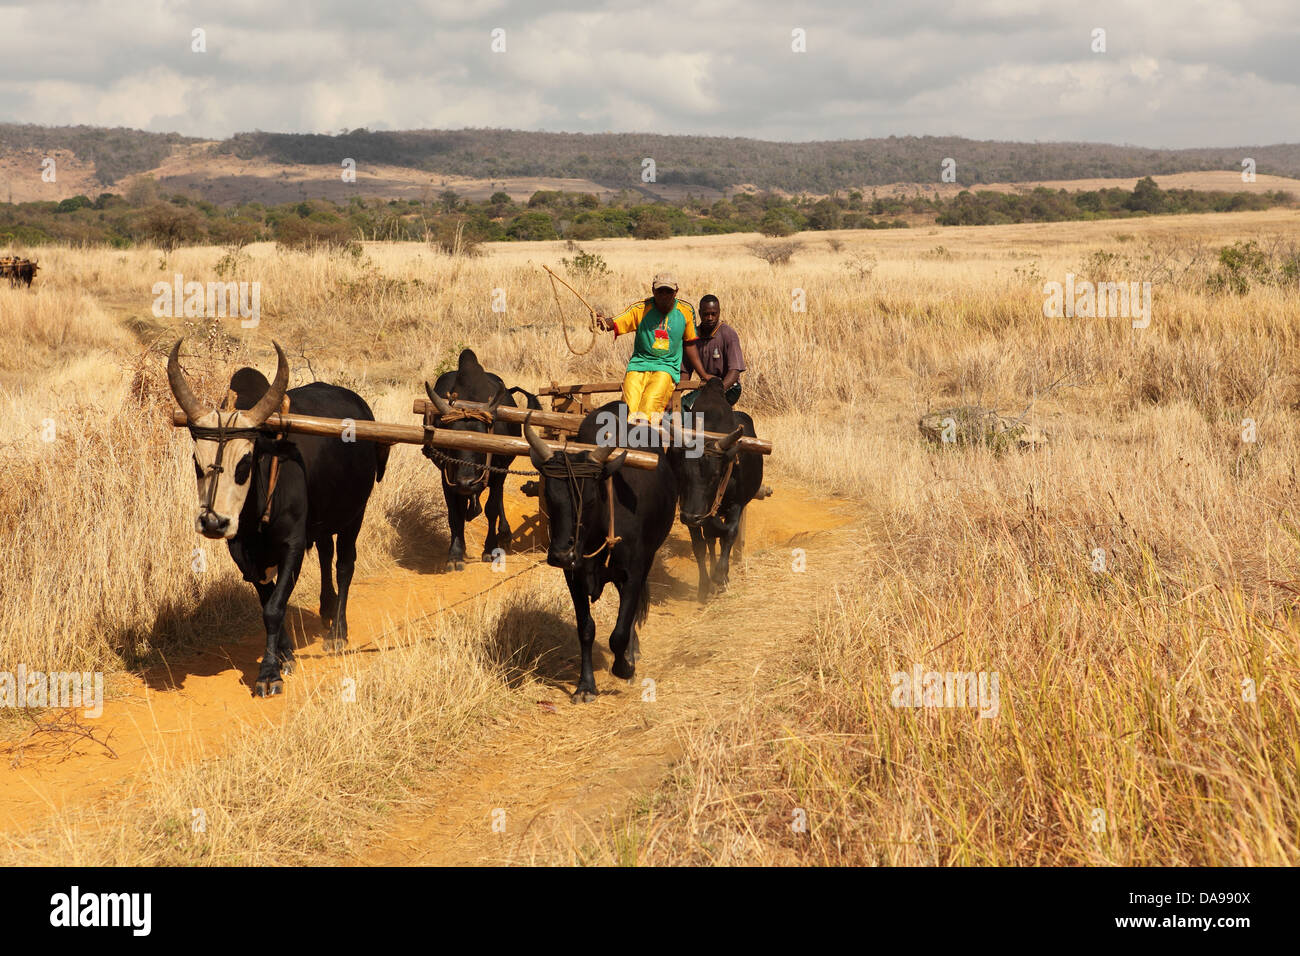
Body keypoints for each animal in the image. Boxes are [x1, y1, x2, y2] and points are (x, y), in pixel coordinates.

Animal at [168, 339, 388, 697]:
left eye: (245, 462)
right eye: (196, 462)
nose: (213, 523)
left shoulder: (293, 545)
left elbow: (274, 607)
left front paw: (269, 673)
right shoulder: (242, 553)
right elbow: (267, 600)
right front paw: (285, 654)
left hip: (355, 513)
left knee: (344, 565)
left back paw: (337, 632)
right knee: (326, 553)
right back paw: (326, 609)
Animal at [422, 348, 540, 570]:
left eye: (482, 444)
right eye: (451, 444)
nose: (466, 482)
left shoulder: (498, 471)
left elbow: (491, 508)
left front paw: (489, 549)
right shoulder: (447, 476)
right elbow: (455, 513)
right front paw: (456, 554)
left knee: (498, 497)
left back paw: (504, 535)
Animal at [524, 402, 677, 702]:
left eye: (591, 498)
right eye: (549, 496)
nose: (560, 555)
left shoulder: (633, 573)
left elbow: (619, 631)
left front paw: (625, 667)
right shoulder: (574, 578)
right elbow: (586, 629)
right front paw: (585, 686)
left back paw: (631, 654)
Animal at [671, 376, 764, 604]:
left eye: (715, 475)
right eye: (682, 474)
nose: (691, 516)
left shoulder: (737, 504)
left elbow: (729, 534)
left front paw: (721, 576)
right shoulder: (691, 510)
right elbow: (701, 545)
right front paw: (705, 585)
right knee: (712, 540)